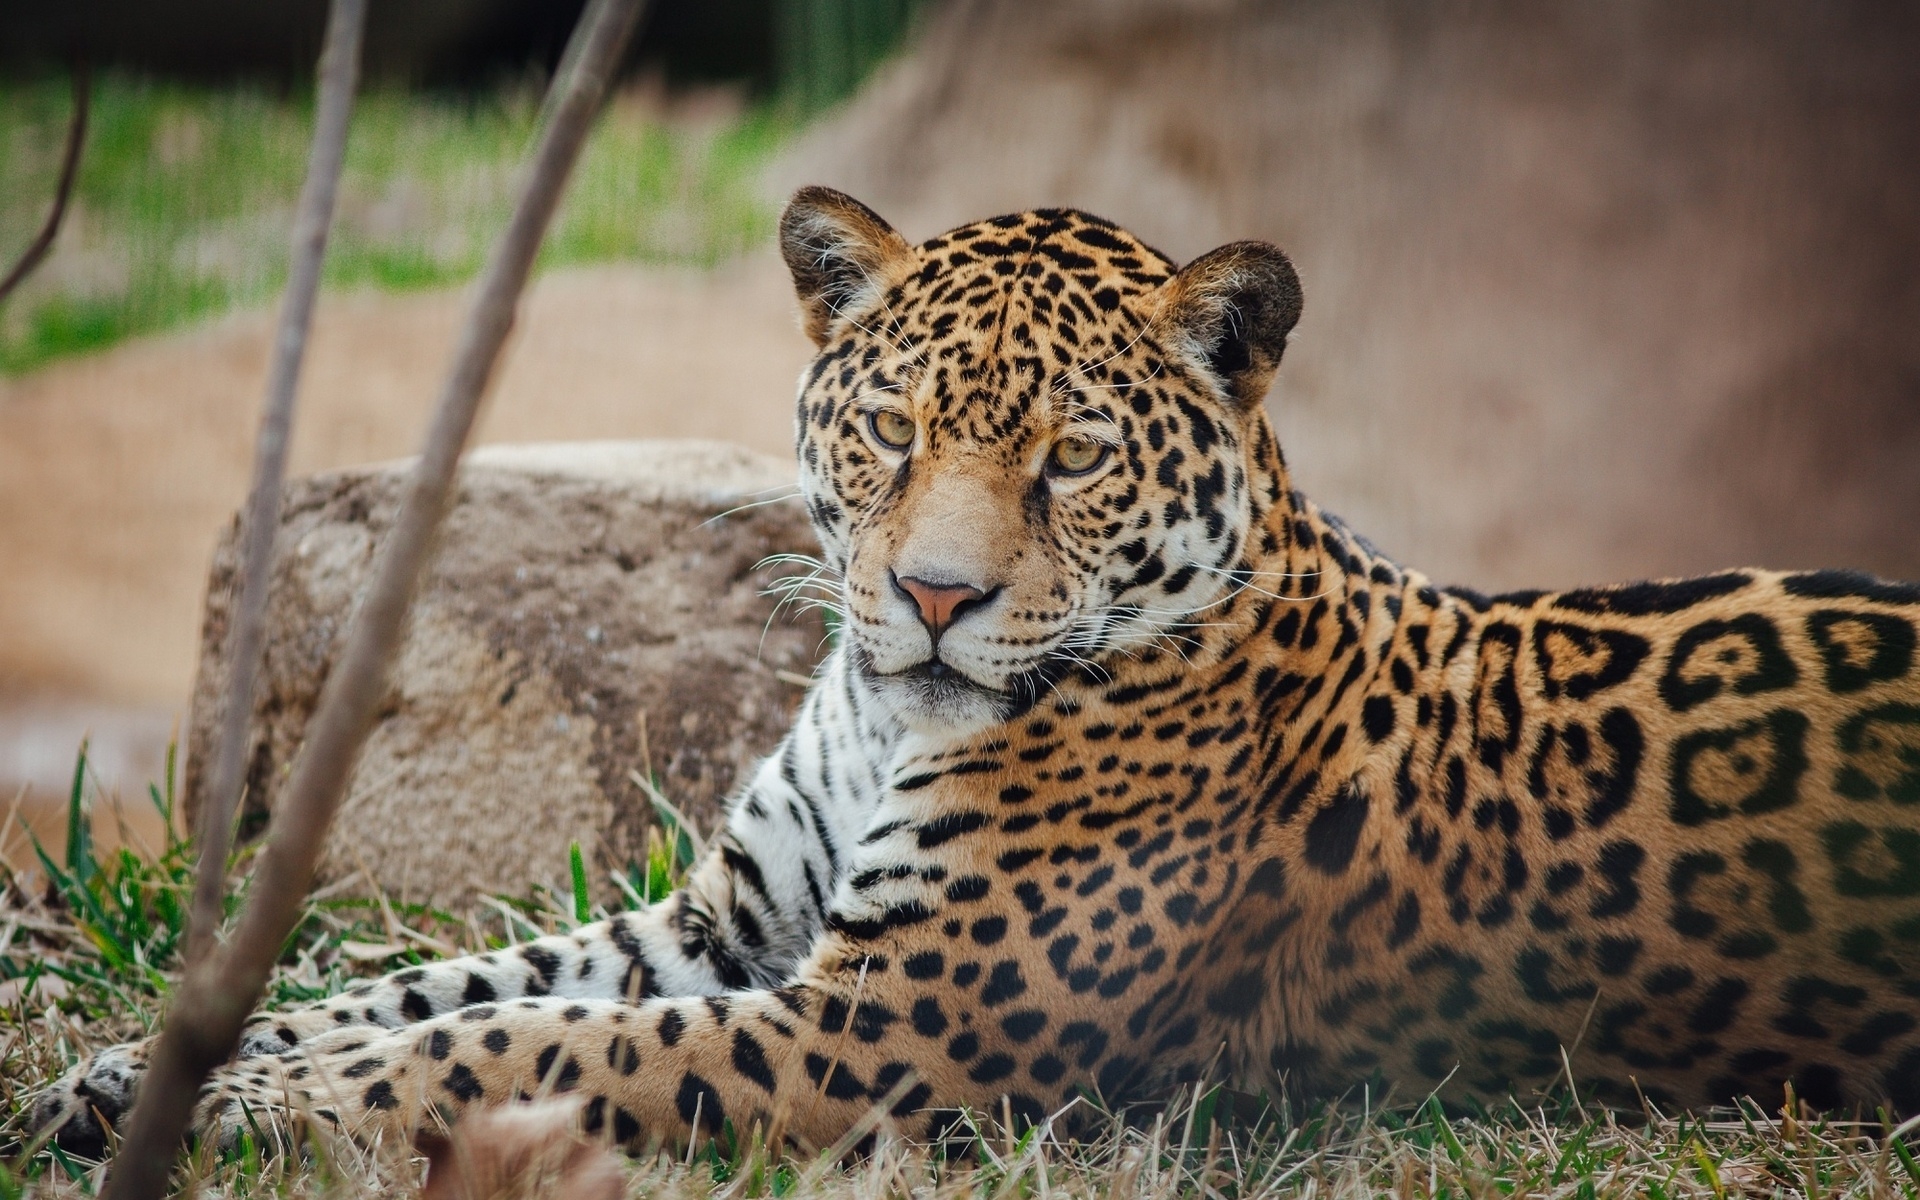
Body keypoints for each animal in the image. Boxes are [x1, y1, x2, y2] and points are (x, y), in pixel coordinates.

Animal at [32, 186, 1920, 1161]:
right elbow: (447, 986)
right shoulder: (722, 922)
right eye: (893, 427)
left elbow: (511, 1049)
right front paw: (149, 1067)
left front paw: (265, 1103)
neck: (887, 718)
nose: (933, 597)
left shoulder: (875, 1028)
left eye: (1071, 457)